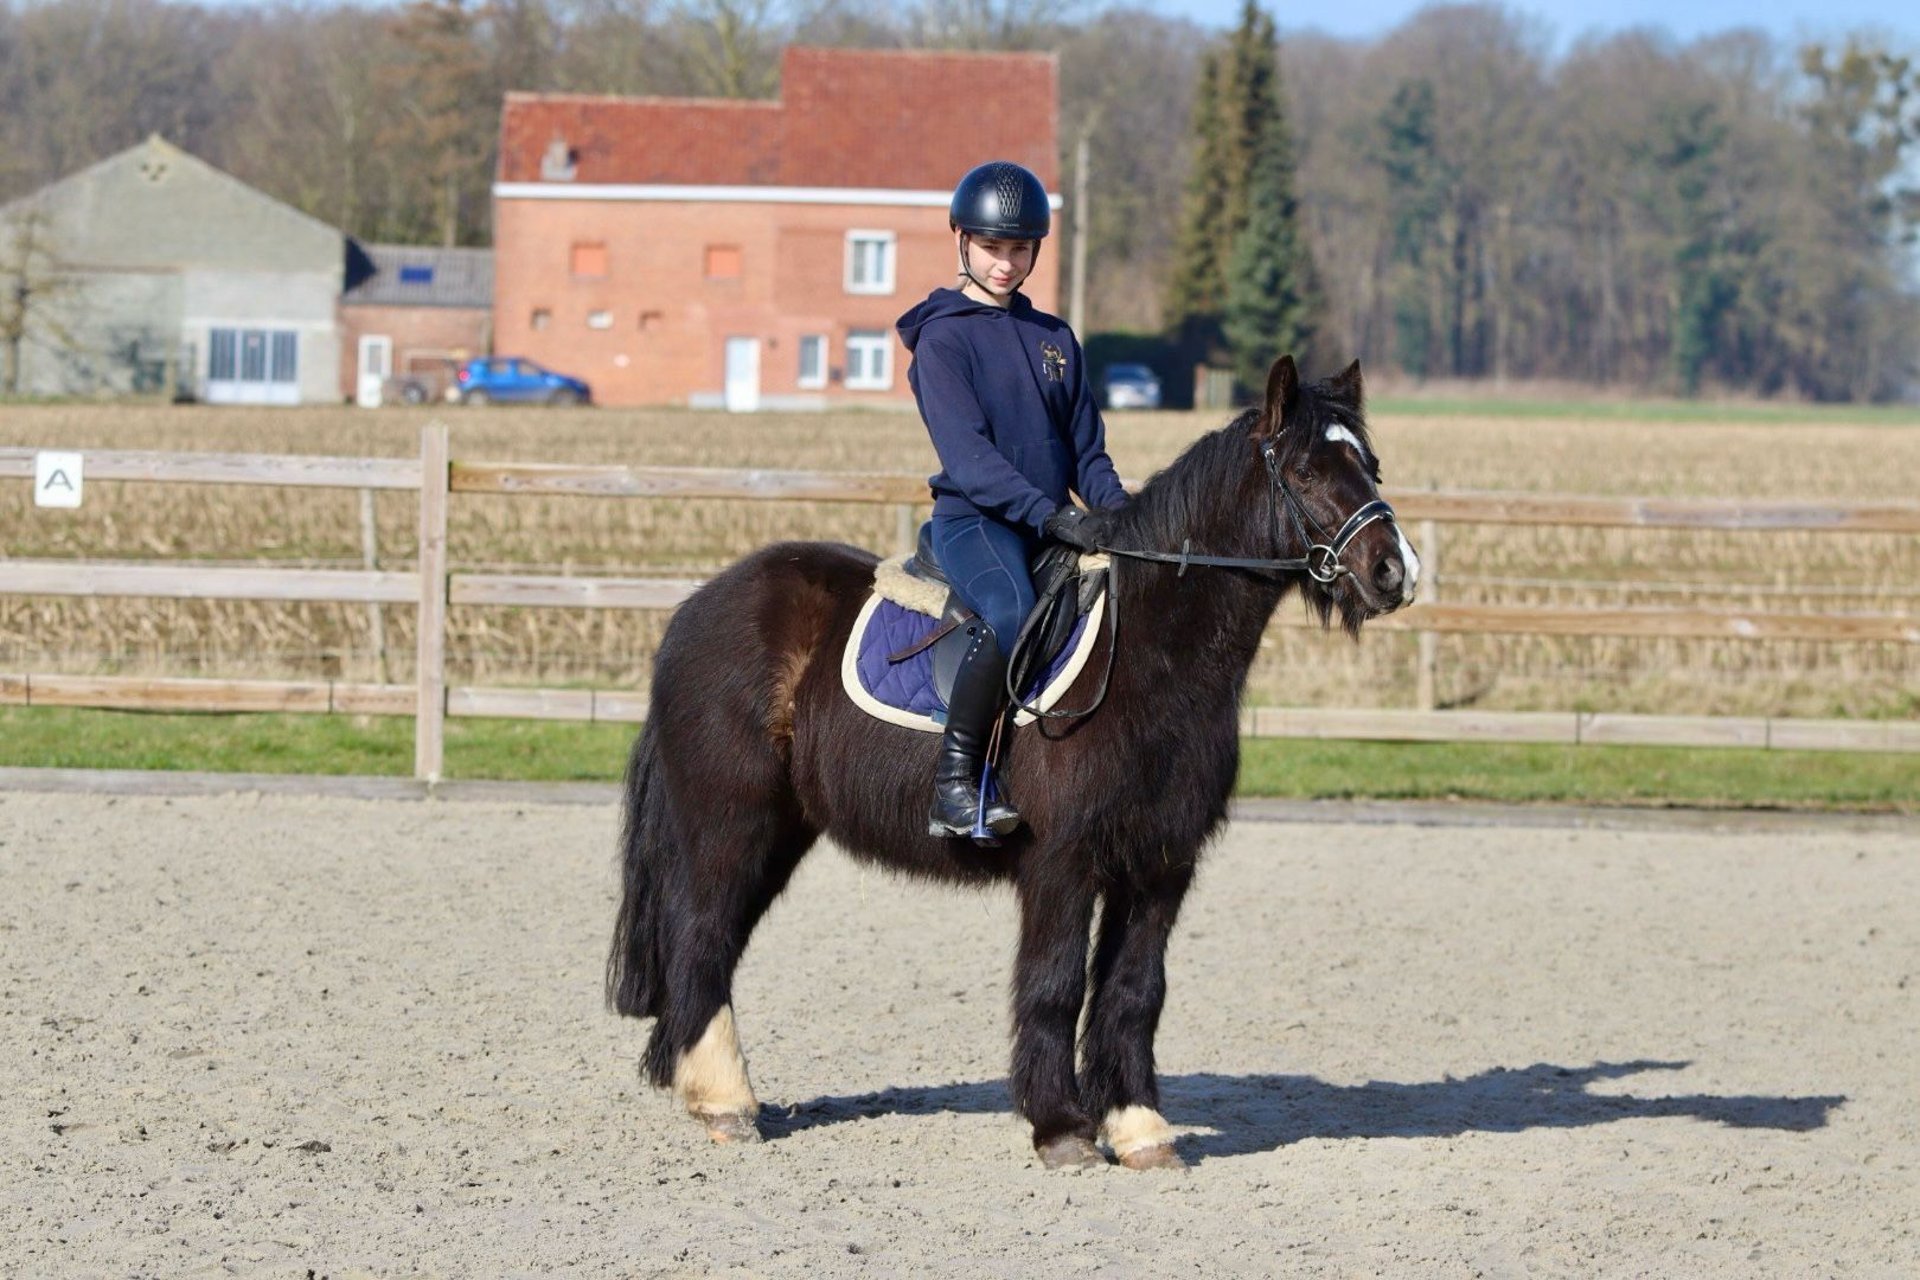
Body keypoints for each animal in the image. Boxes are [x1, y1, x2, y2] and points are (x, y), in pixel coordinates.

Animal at [607, 354, 1420, 1170]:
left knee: (713, 942)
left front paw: (1140, 1128)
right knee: (702, 936)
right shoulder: (1062, 861)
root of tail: (698, 607)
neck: (1151, 651)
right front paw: (1062, 1127)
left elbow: (1134, 991)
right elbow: (1056, 985)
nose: (1395, 571)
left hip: (779, 830)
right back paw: (728, 1103)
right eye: (1307, 471)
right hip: (730, 820)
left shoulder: (1161, 862)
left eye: (1373, 466)